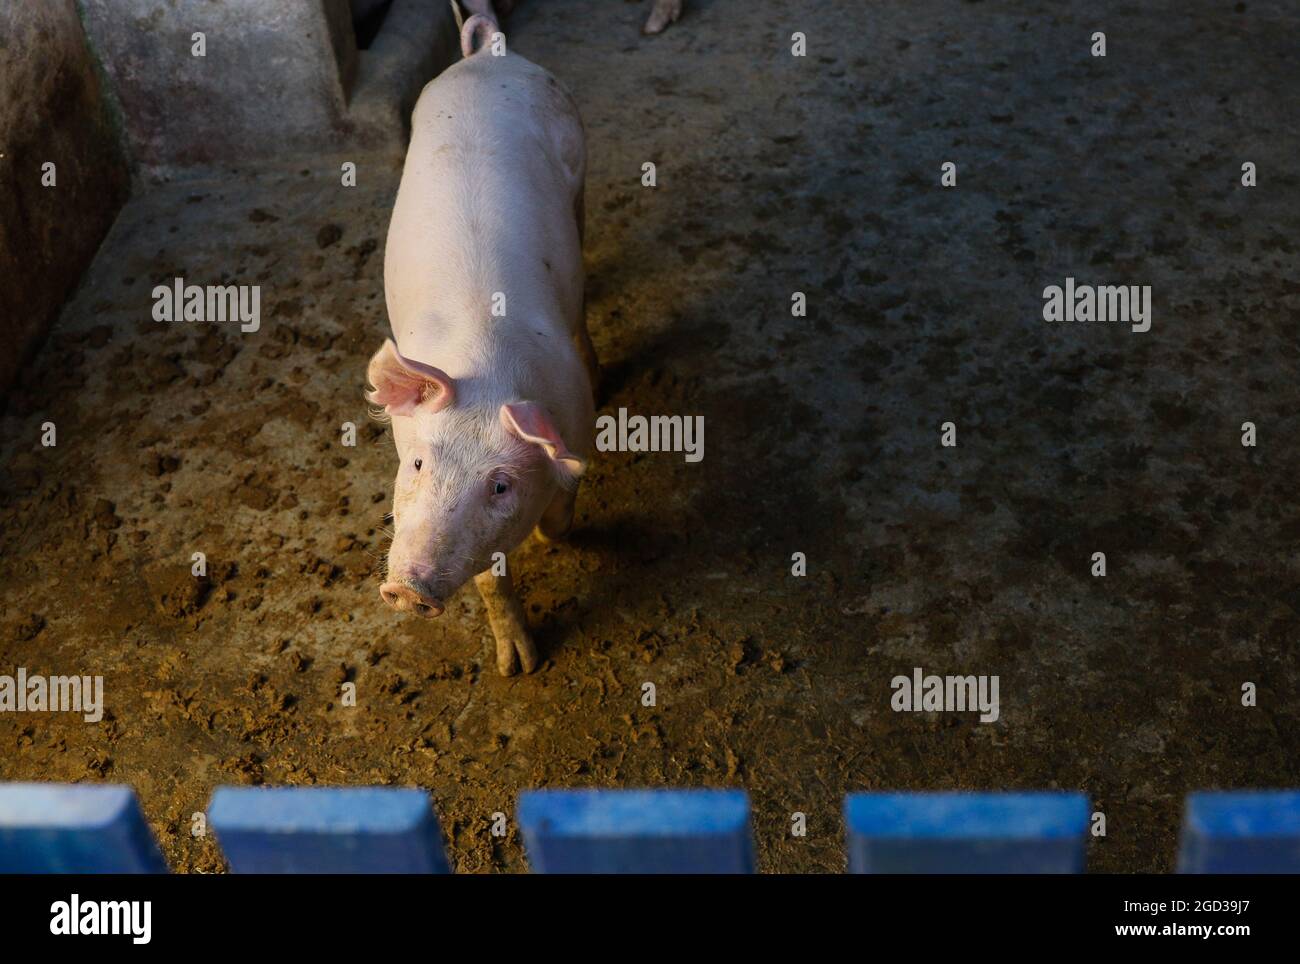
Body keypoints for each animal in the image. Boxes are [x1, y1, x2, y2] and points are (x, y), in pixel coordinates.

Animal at [368, 13, 598, 676]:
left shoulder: (576, 424)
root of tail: (486, 53)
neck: (489, 365)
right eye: (418, 463)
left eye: (499, 485)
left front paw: (551, 538)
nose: (406, 589)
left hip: (579, 162)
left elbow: (563, 508)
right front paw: (516, 668)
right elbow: (491, 582)